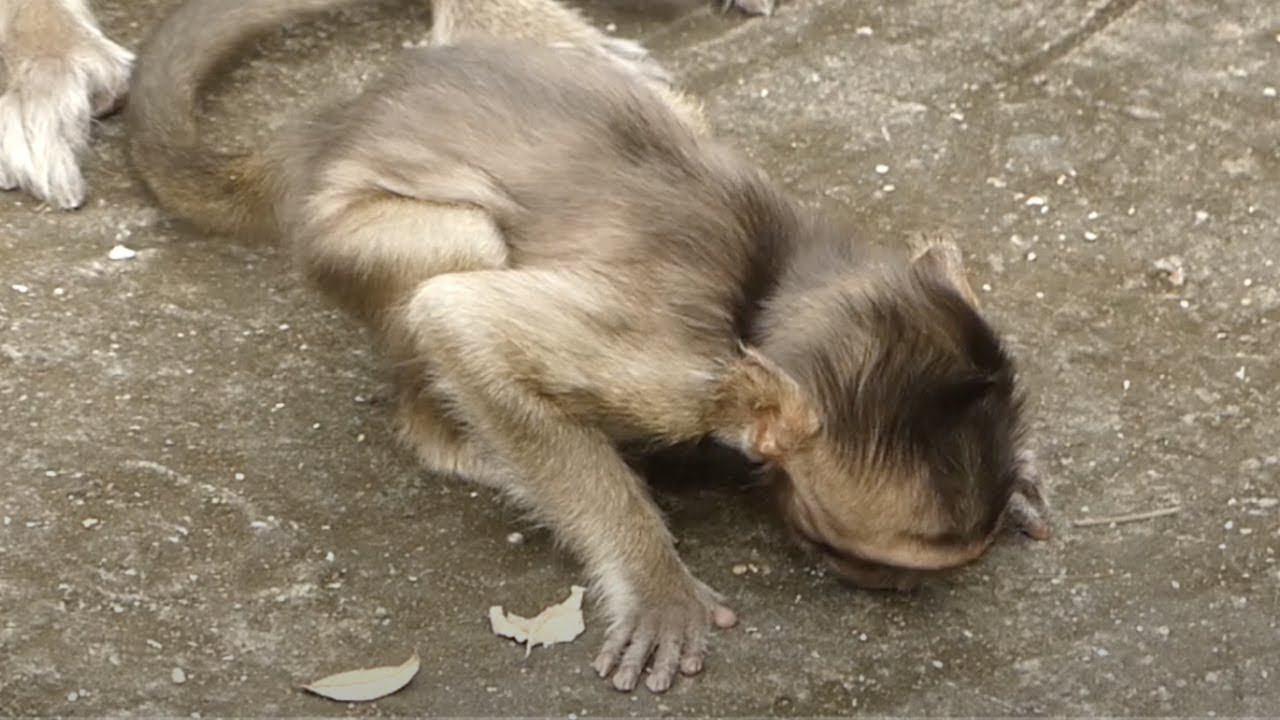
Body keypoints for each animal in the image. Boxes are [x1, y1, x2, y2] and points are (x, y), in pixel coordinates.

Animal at [125, 0, 1050, 695]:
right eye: (854, 557)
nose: (900, 589)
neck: (770, 293)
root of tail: (331, 122)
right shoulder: (679, 373)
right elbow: (463, 321)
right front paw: (655, 581)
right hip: (342, 231)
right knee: (459, 249)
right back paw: (461, 442)